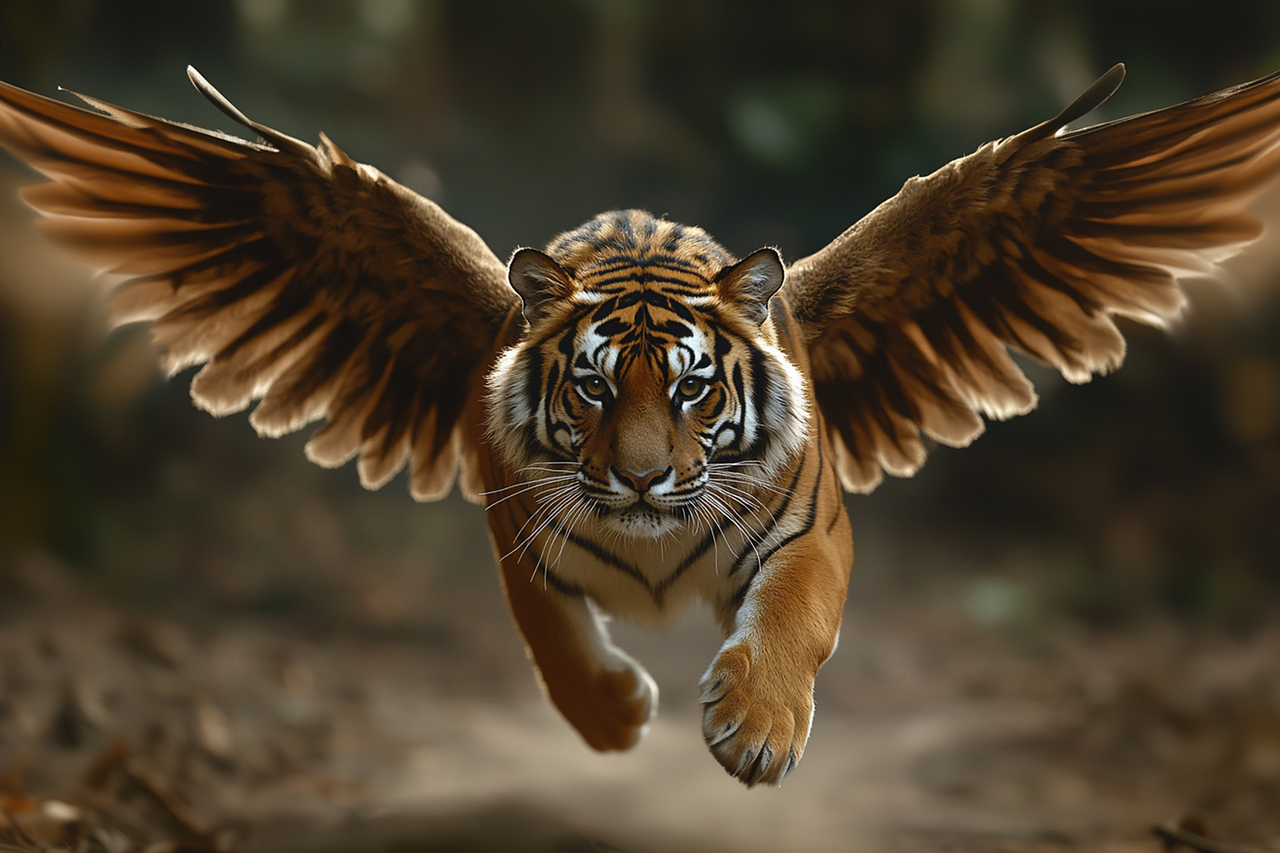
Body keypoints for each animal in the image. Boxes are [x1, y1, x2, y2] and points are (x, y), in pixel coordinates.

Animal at [1, 61, 1279, 786]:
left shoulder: (809, 533)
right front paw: (616, 721)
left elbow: (792, 623)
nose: (646, 479)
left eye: (695, 388)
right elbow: (557, 646)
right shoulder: (516, 537)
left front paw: (755, 730)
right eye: (592, 388)